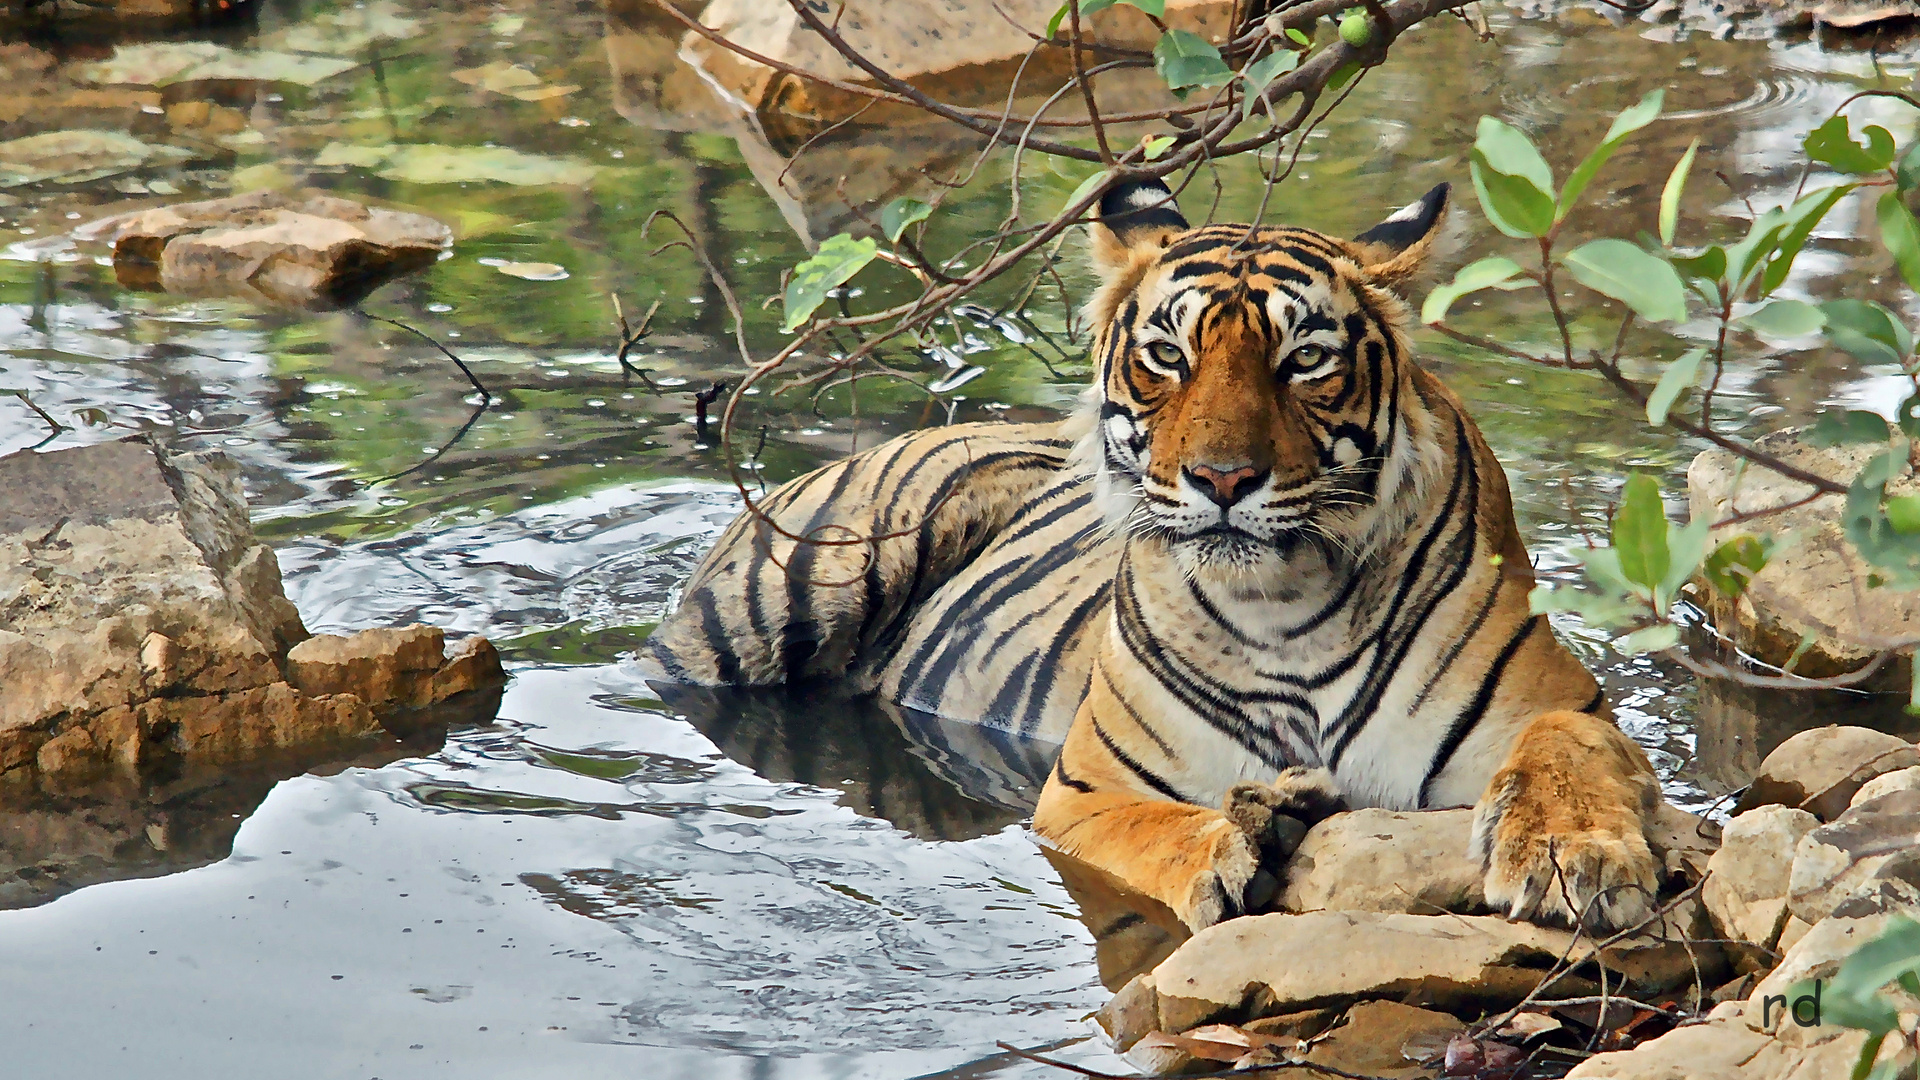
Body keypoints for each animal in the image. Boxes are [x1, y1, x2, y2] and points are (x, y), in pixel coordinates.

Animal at [640, 178, 1662, 936]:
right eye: (1168, 354)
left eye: (1303, 360)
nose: (1222, 477)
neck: (1286, 607)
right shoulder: (1082, 794)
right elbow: (1154, 829)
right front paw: (1237, 840)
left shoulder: (1555, 699)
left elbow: (1564, 744)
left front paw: (1575, 857)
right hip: (774, 601)